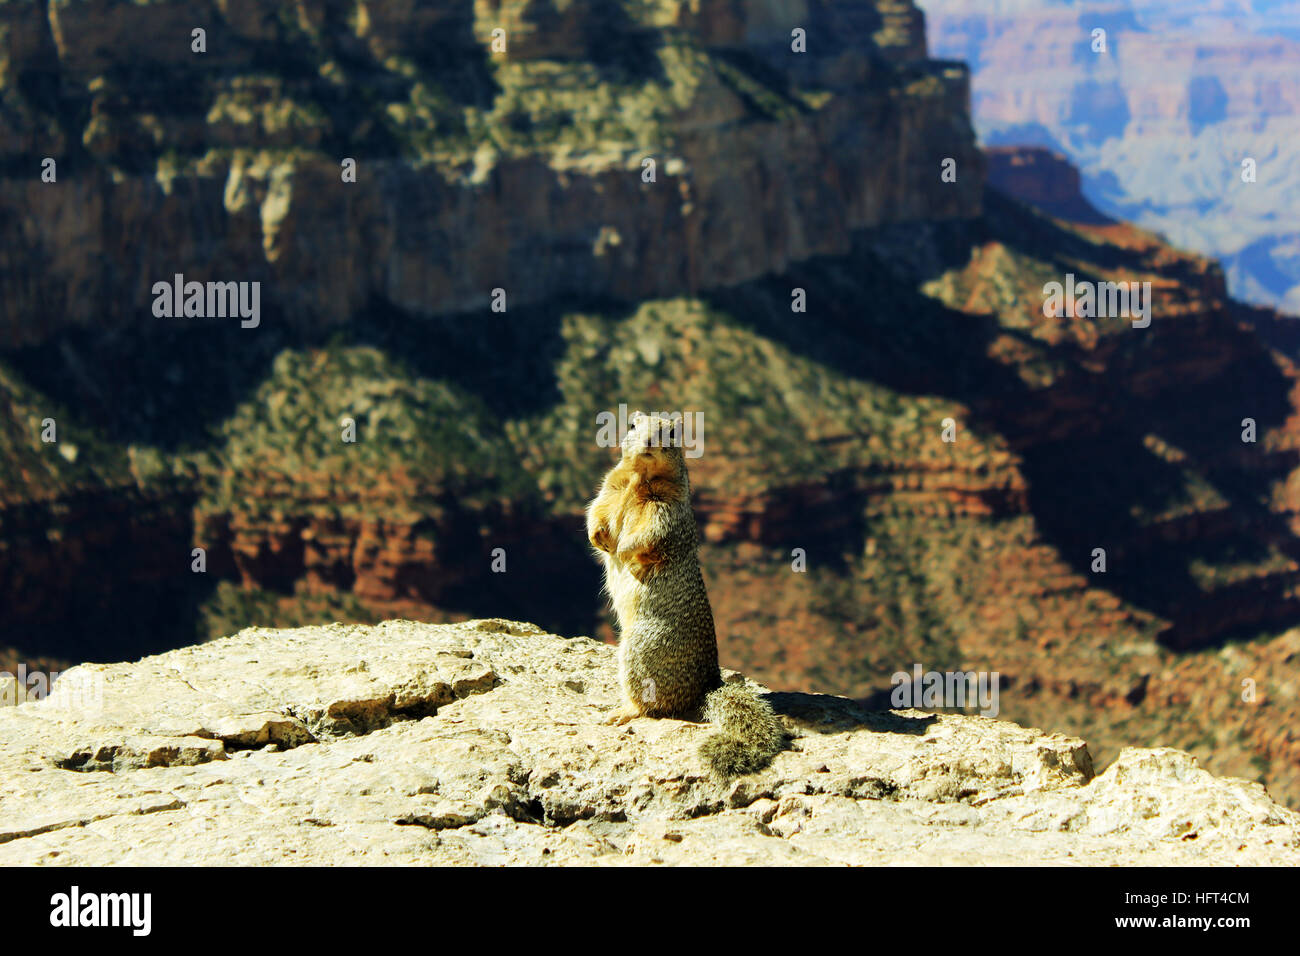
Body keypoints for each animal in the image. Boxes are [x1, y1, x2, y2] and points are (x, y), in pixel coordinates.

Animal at [585, 410, 785, 776]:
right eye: (632, 425)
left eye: (673, 432)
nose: (649, 441)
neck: (640, 479)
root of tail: (705, 686)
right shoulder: (610, 488)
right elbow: (596, 511)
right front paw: (600, 539)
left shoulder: (668, 509)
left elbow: (649, 535)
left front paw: (625, 552)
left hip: (640, 648)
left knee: (651, 705)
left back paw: (623, 711)